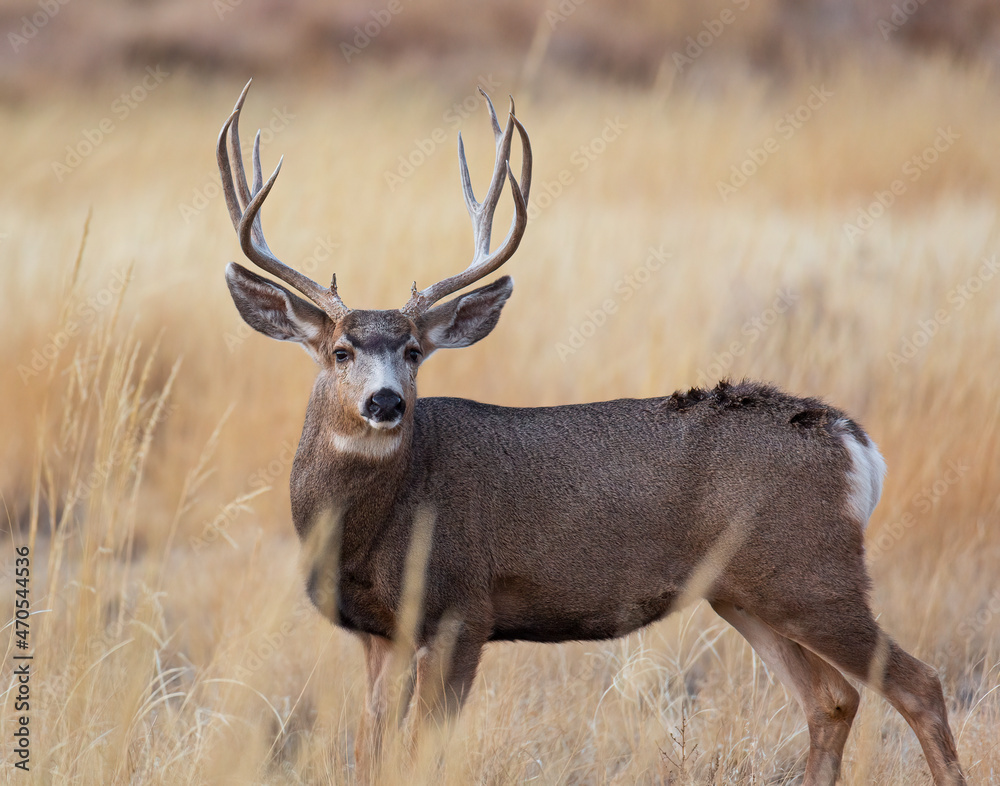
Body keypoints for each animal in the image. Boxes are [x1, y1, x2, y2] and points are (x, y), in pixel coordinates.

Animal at [215, 80, 966, 786]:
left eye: (414, 352)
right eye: (340, 351)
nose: (385, 402)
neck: (370, 528)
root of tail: (853, 442)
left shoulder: (463, 609)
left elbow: (423, 754)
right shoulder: (378, 632)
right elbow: (370, 755)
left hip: (814, 572)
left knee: (918, 685)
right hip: (745, 591)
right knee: (831, 699)